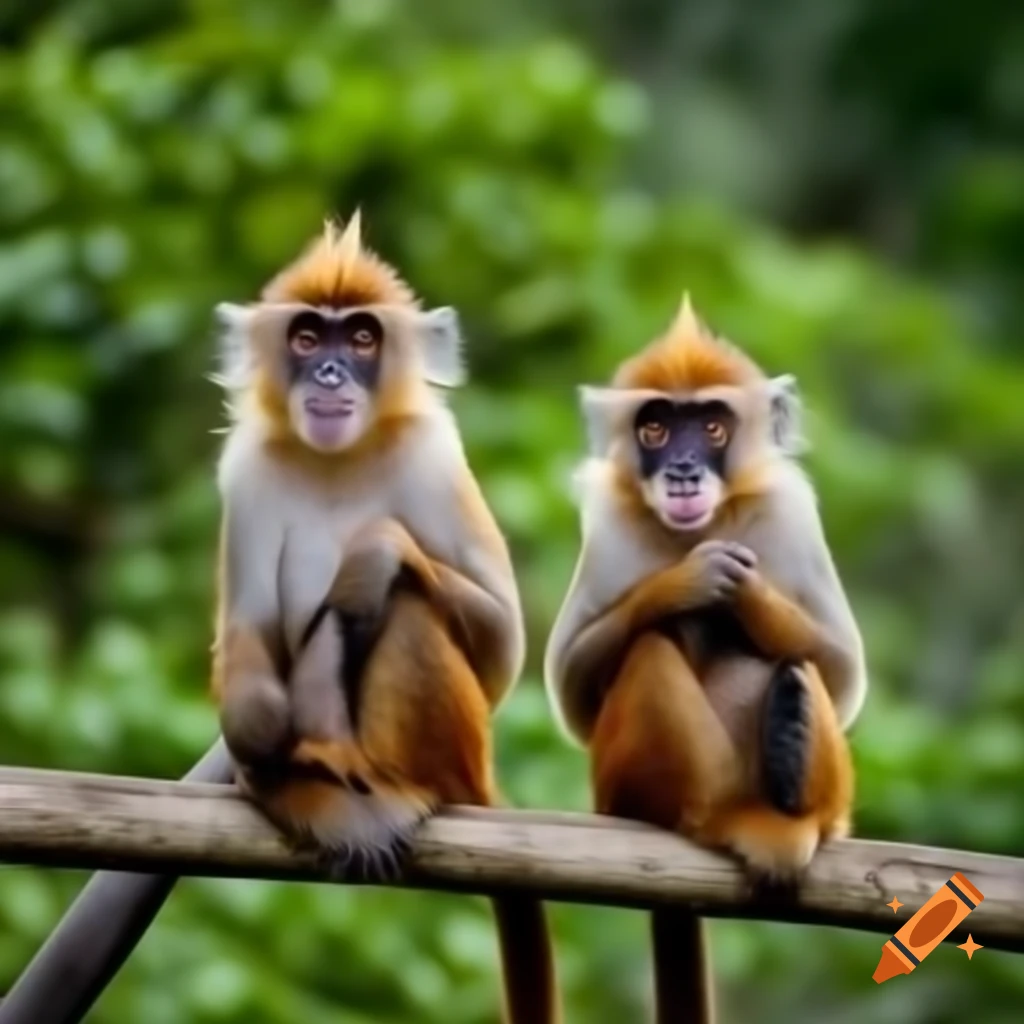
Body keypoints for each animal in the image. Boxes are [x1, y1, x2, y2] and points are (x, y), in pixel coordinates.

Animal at [209, 213, 559, 1024]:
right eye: (309, 338)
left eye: (363, 338)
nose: (332, 374)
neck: (340, 460)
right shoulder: (246, 468)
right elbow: (248, 638)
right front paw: (265, 742)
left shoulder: (434, 453)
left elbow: (503, 644)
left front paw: (370, 553)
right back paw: (302, 783)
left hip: (456, 751)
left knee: (403, 603)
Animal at [543, 296, 865, 1023]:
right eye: (656, 428)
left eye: (713, 426)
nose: (685, 470)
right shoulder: (608, 522)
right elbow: (574, 691)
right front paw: (687, 581)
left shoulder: (790, 509)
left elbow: (841, 670)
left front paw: (743, 589)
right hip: (620, 788)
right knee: (650, 647)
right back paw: (712, 811)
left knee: (798, 665)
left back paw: (794, 758)